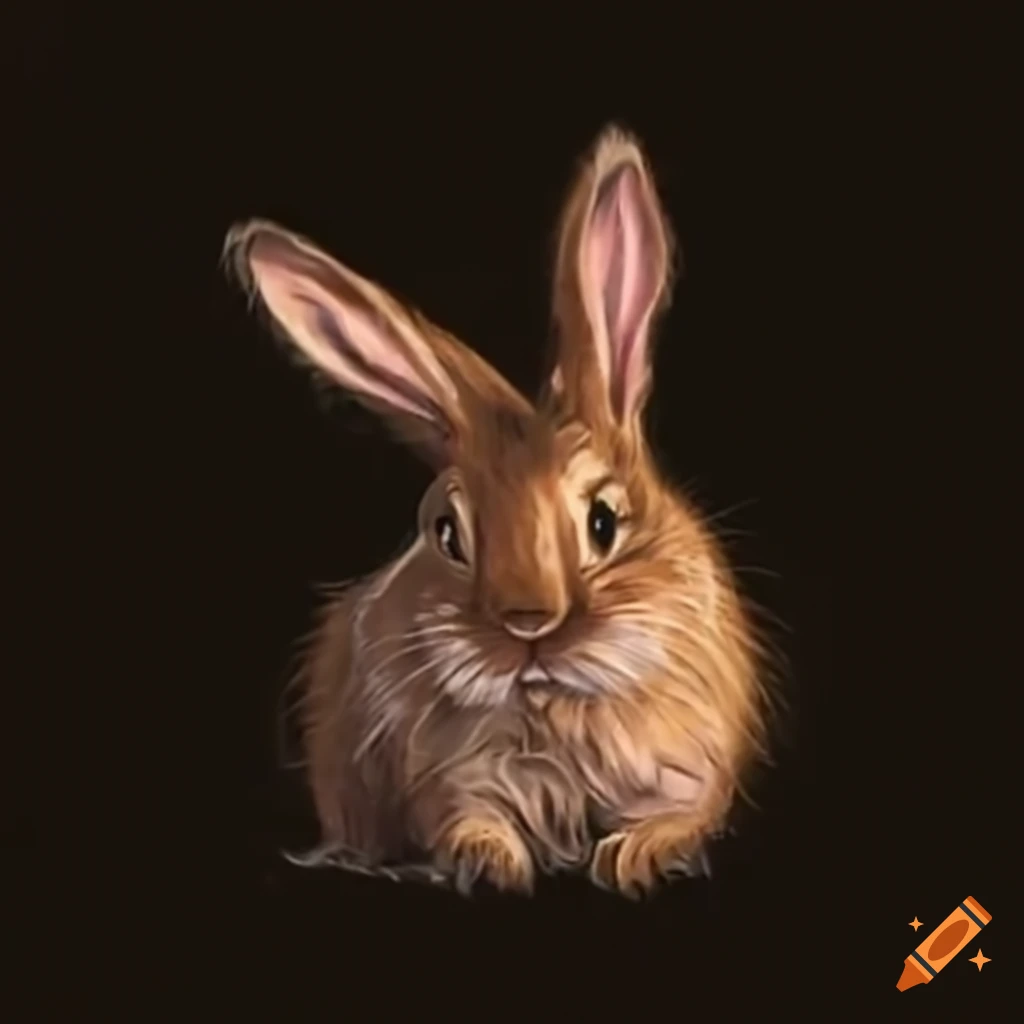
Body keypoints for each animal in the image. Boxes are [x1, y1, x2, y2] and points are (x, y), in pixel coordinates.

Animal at [224, 124, 771, 898]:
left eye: (604, 521)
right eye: (446, 533)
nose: (528, 624)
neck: (555, 708)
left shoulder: (690, 770)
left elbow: (682, 818)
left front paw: (635, 858)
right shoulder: (449, 784)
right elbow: (468, 820)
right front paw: (492, 865)